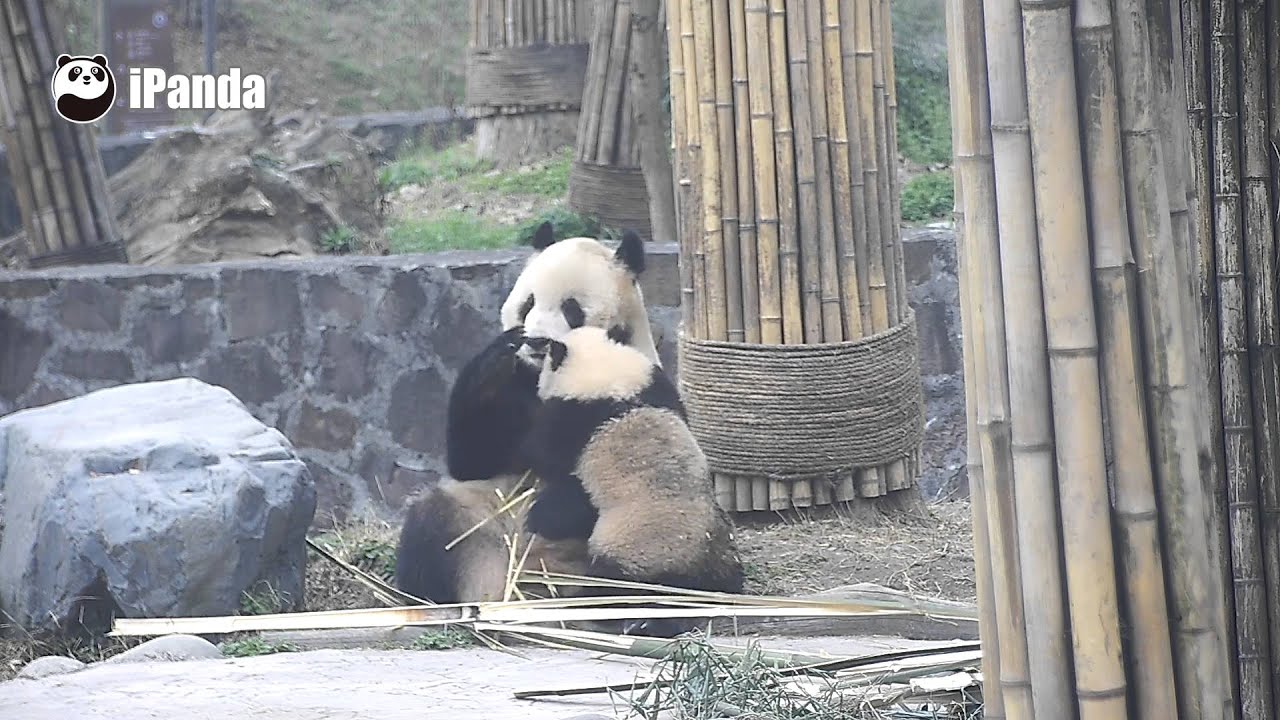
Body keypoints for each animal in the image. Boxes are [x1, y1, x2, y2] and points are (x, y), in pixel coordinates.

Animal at [395, 221, 664, 605]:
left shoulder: (634, 381)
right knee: (431, 524)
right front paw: (493, 360)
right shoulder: (515, 387)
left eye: (571, 308)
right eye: (528, 303)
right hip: (478, 529)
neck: (550, 373)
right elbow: (472, 459)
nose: (536, 341)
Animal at [526, 325, 745, 637]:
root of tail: (689, 573)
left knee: (614, 587)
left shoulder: (572, 421)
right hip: (721, 549)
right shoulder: (657, 387)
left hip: (633, 549)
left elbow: (551, 464)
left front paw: (539, 515)